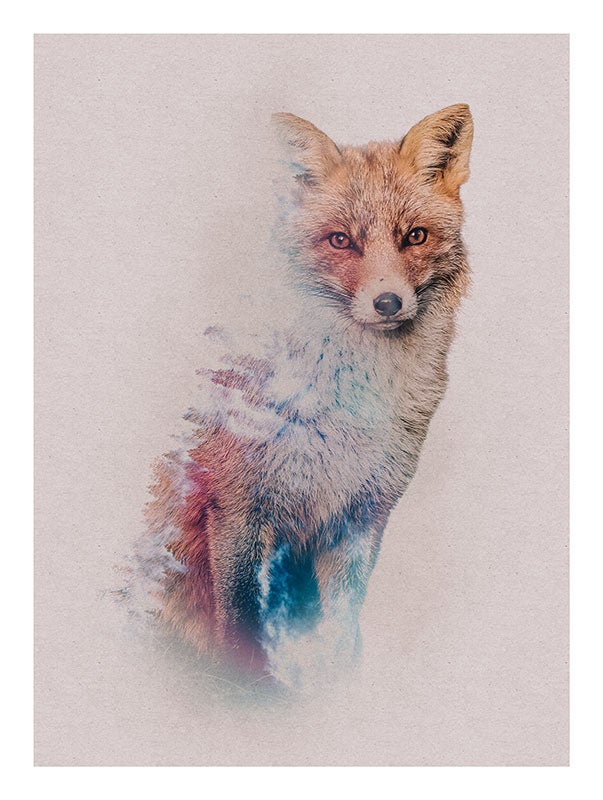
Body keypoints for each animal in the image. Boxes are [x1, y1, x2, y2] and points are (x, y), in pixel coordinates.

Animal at [124, 104, 474, 691]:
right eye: (340, 241)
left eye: (415, 236)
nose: (387, 302)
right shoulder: (236, 507)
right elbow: (242, 625)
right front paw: (250, 692)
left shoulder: (361, 516)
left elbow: (342, 631)